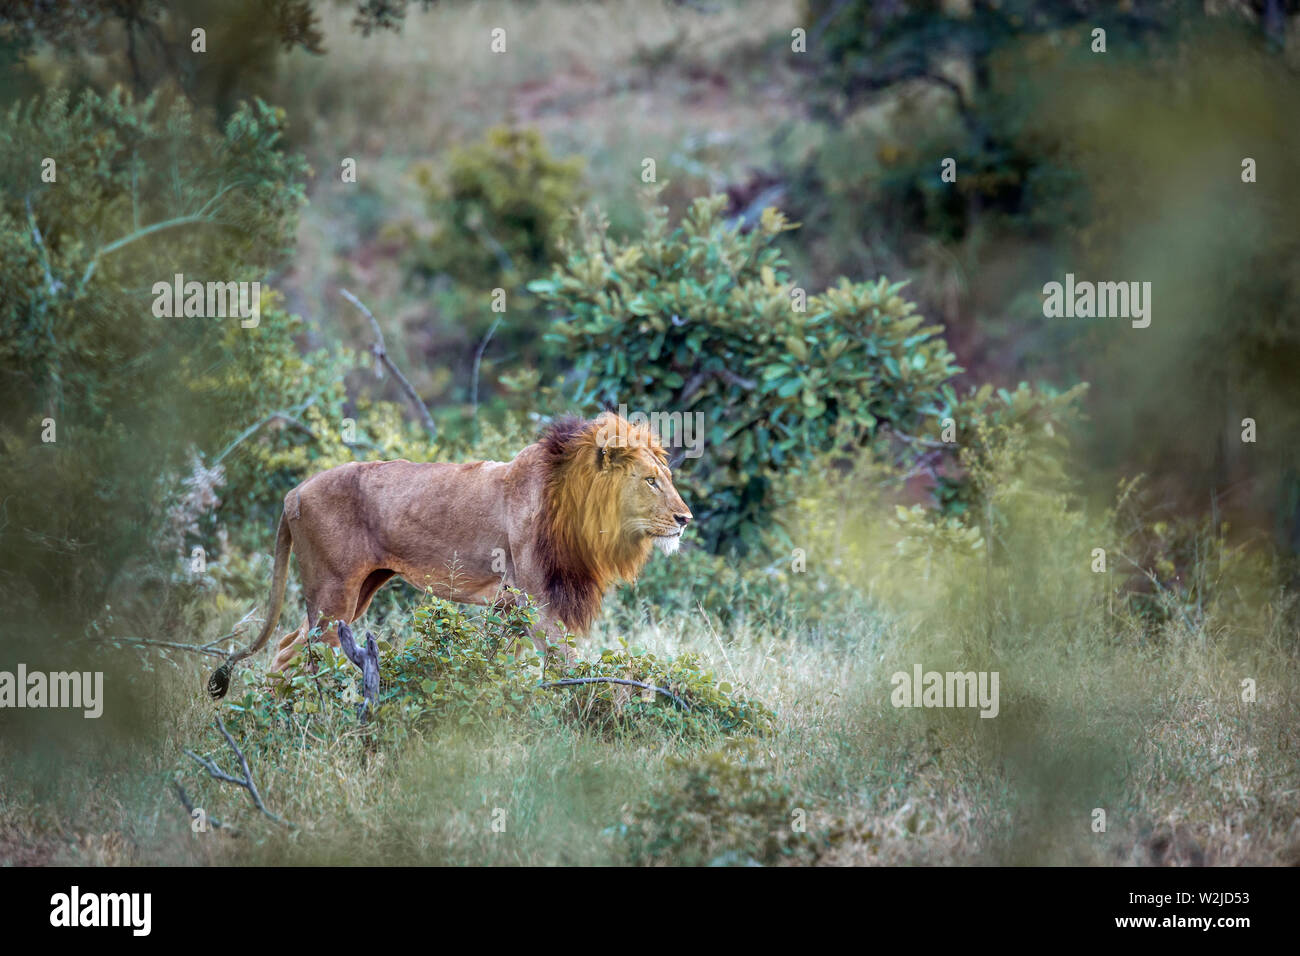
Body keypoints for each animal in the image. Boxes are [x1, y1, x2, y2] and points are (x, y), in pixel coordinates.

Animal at [207, 411, 692, 698]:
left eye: (665, 478)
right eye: (650, 481)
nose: (686, 518)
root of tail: (294, 493)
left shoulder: (510, 606)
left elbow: (496, 660)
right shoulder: (538, 603)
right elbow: (567, 663)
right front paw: (592, 708)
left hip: (357, 592)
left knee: (287, 645)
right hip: (333, 595)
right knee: (293, 652)